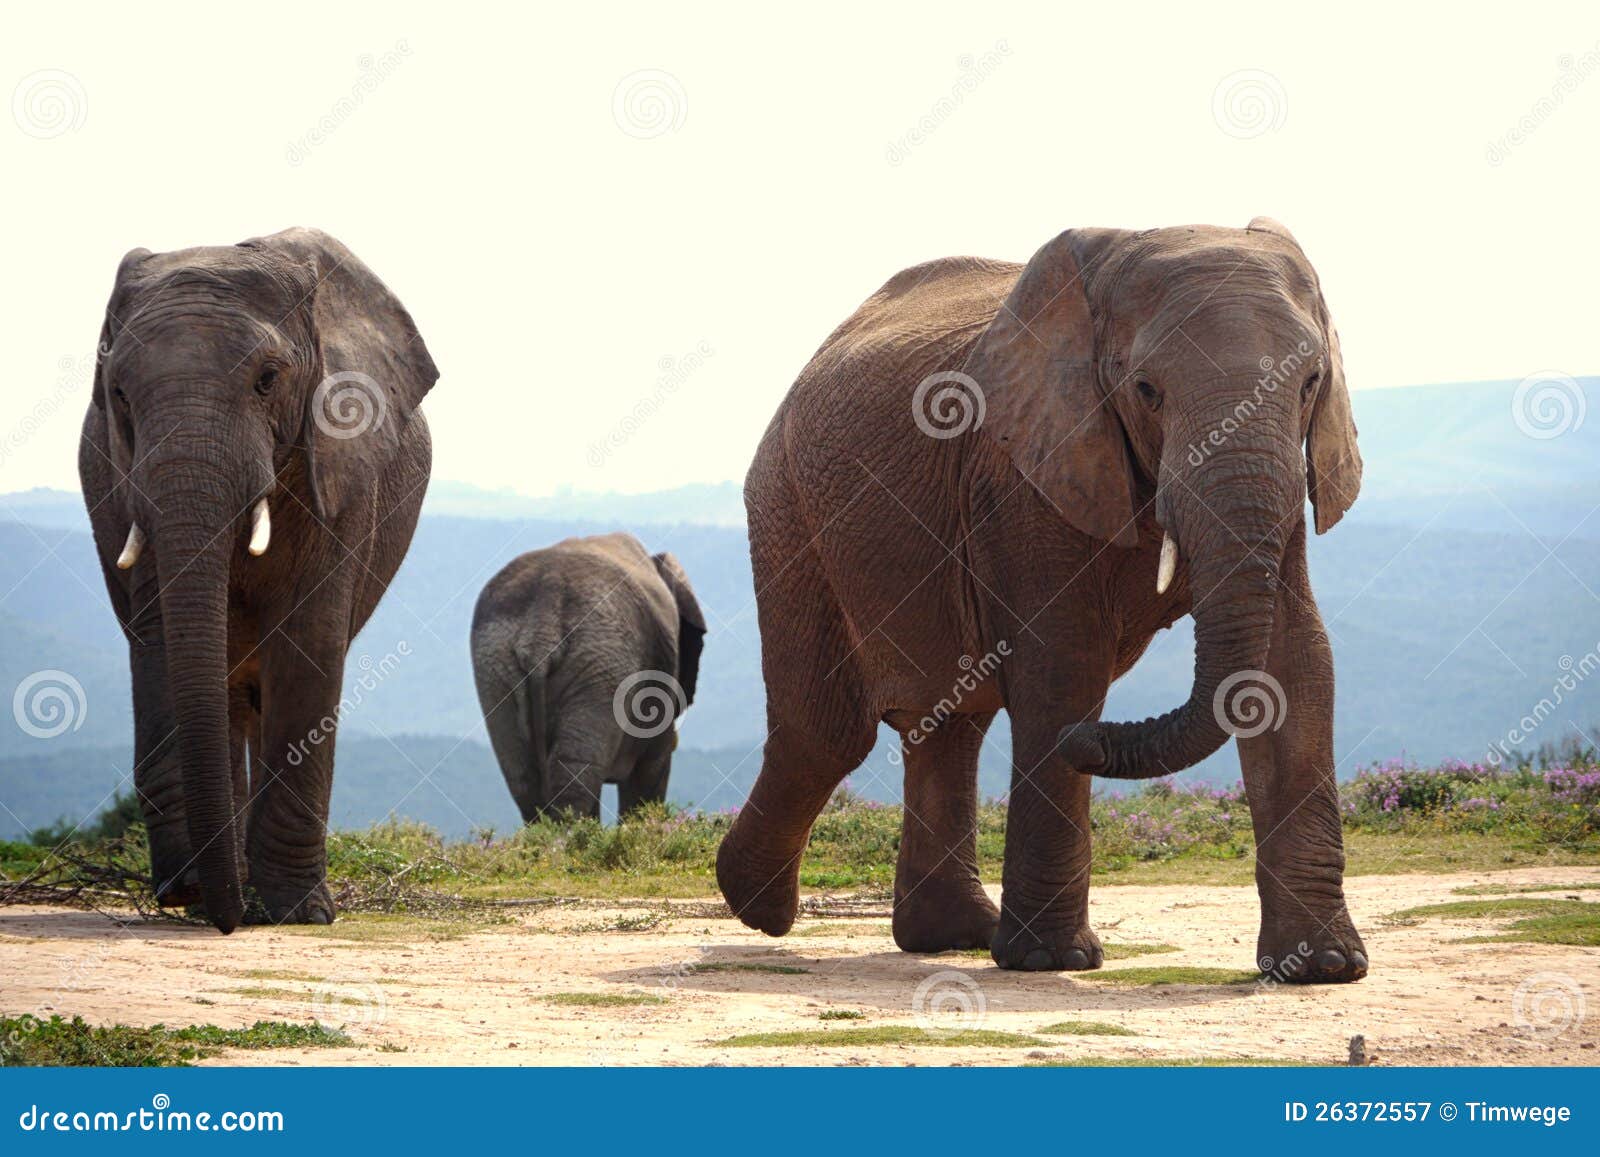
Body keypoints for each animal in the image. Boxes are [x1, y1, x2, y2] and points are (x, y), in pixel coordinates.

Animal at [78, 227, 438, 932]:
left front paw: (302, 912)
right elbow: (162, 634)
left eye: (268, 380)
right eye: (119, 394)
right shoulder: (124, 483)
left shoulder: (341, 465)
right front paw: (193, 892)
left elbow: (306, 642)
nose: (224, 923)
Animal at [471, 533, 705, 821]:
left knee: (523, 779)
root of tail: (543, 619)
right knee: (575, 777)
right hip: (602, 661)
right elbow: (652, 768)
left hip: (496, 665)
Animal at [716, 218, 1368, 981]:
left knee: (947, 722)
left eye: (1311, 383)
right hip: (787, 510)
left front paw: (1325, 966)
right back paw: (755, 904)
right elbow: (1063, 663)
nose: (1089, 743)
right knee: (827, 731)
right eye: (1146, 390)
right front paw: (1050, 960)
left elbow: (1294, 661)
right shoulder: (1023, 470)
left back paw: (948, 934)